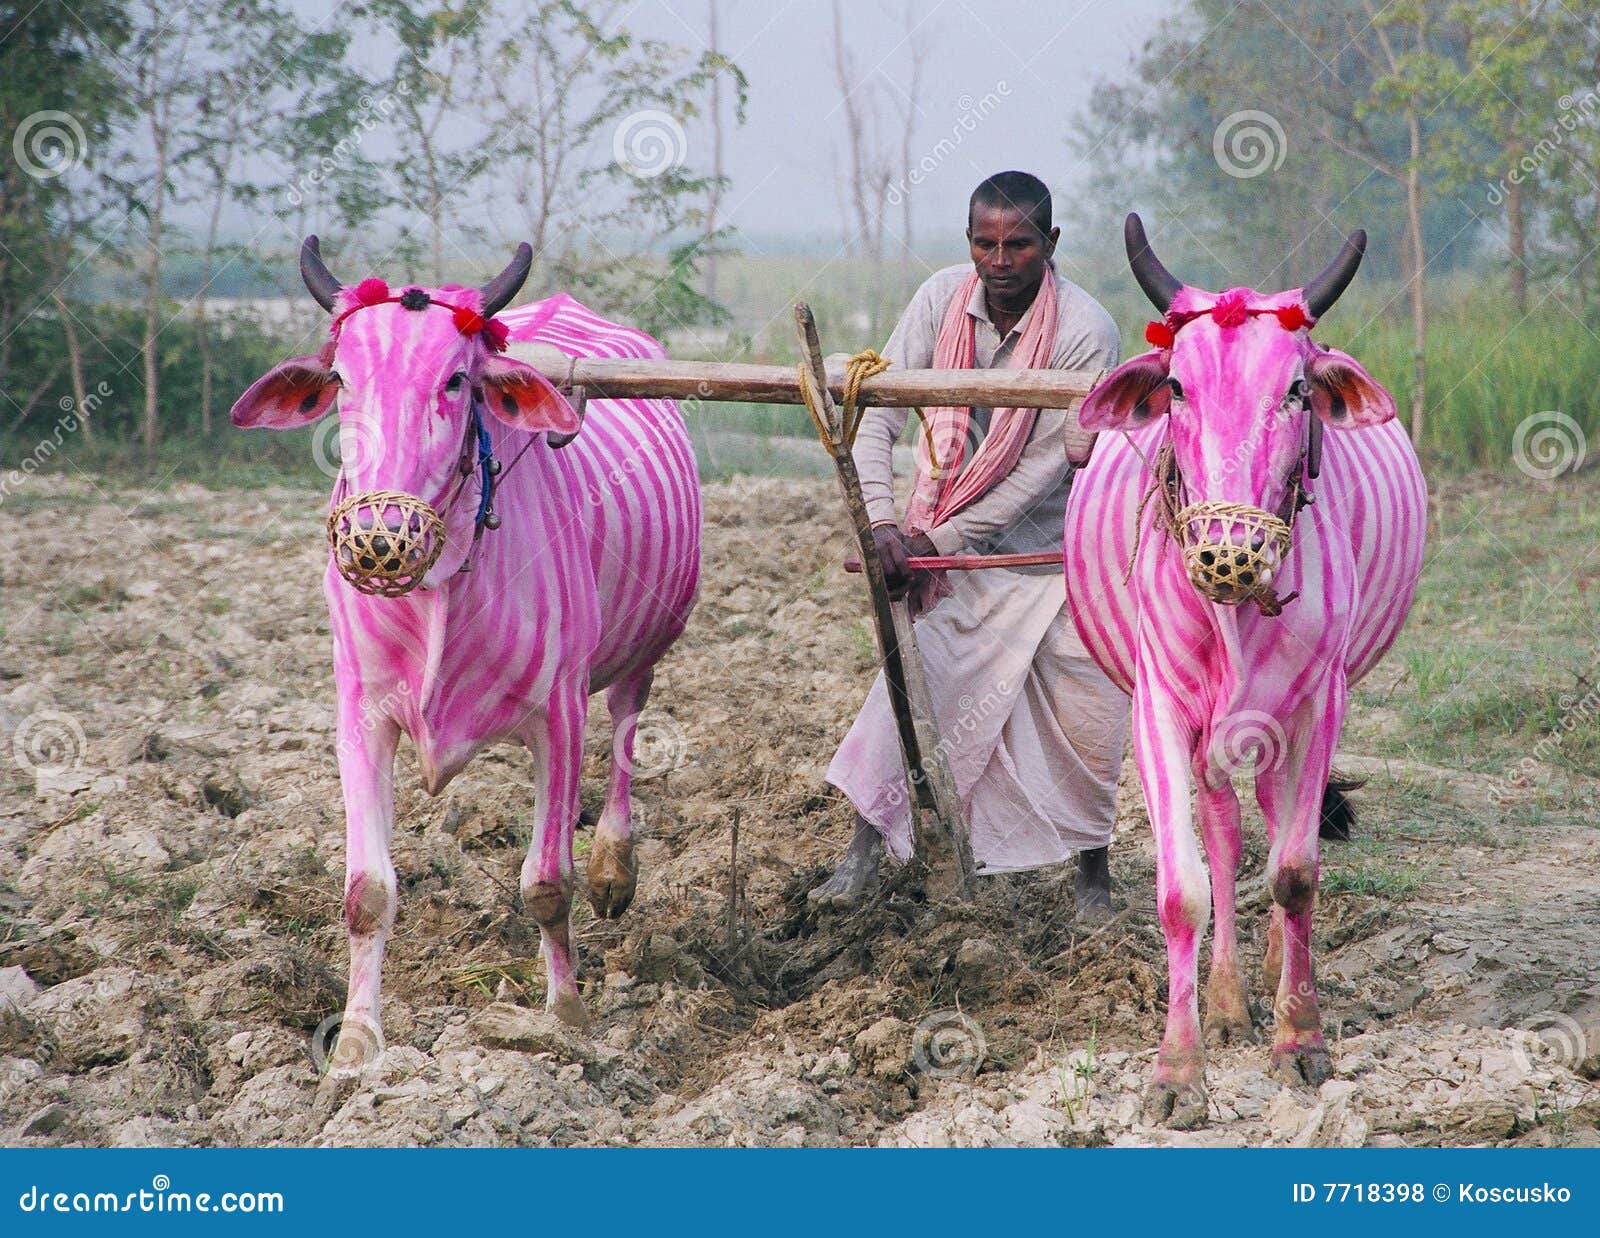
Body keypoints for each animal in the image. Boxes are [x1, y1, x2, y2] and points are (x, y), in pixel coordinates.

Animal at [231, 239, 701, 1067]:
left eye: (455, 379)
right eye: (343, 379)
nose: (379, 539)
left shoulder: (559, 715)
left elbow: (548, 882)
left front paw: (568, 1019)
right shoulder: (360, 715)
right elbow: (367, 893)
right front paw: (355, 1047)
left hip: (644, 644)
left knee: (625, 727)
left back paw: (615, 865)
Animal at [1063, 215, 1426, 1127]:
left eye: (1296, 390)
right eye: (1177, 388)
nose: (1226, 556)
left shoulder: (1319, 702)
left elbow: (1295, 872)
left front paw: (1301, 1039)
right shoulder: (1157, 707)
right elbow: (1184, 887)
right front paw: (1179, 1069)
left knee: (1268, 817)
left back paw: (1271, 975)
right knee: (1226, 828)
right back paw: (1229, 996)